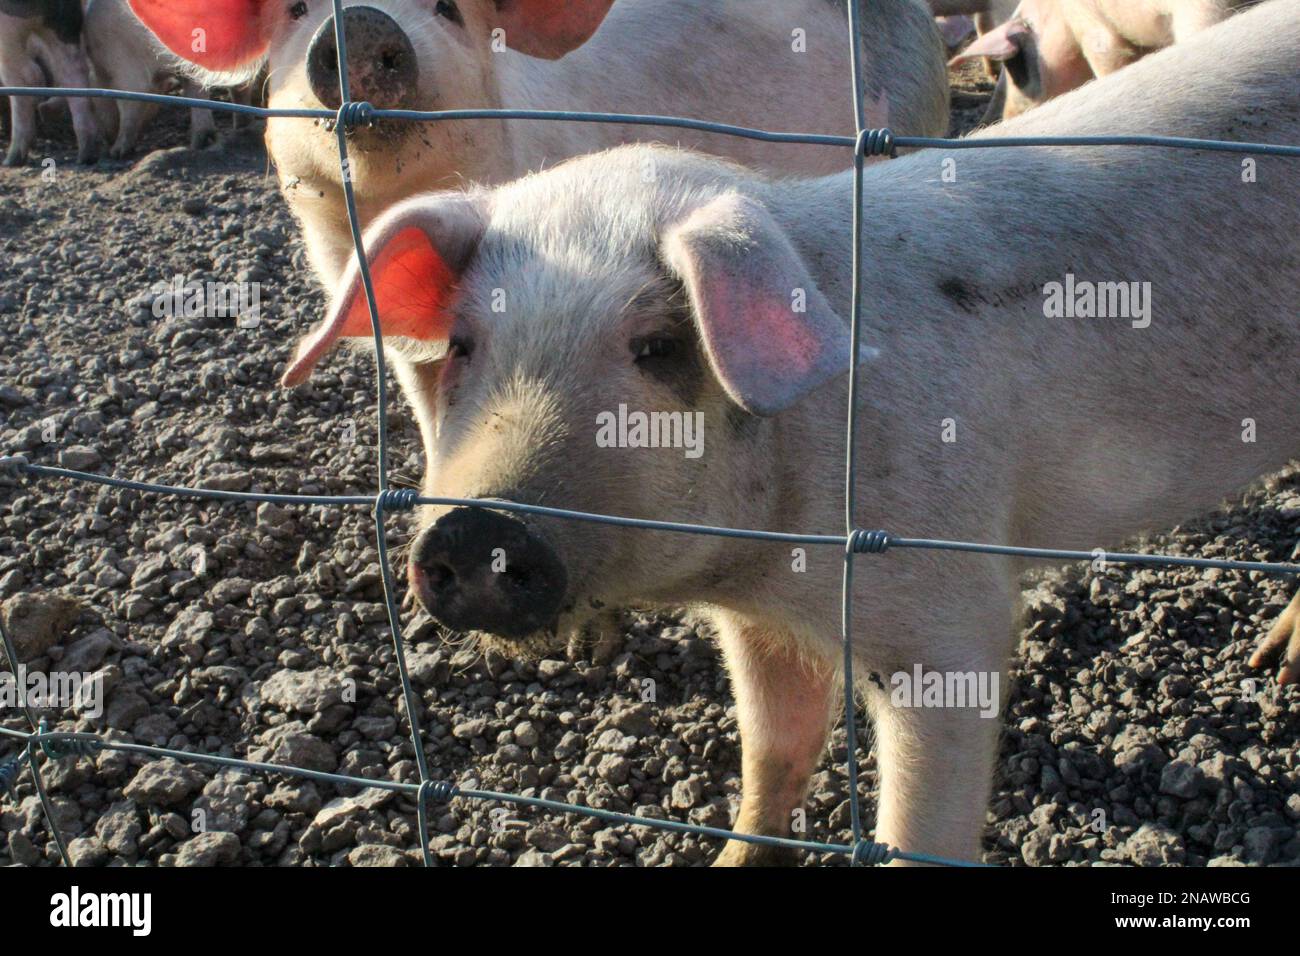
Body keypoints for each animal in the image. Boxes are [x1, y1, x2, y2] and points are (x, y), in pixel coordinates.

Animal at [0, 0, 100, 164]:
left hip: (9, 22)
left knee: (26, 75)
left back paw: (11, 159)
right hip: (62, 24)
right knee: (73, 70)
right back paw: (86, 155)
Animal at [82, 0, 219, 157]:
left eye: (92, 105)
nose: (107, 140)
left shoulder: (124, 65)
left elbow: (129, 105)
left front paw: (117, 152)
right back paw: (201, 143)